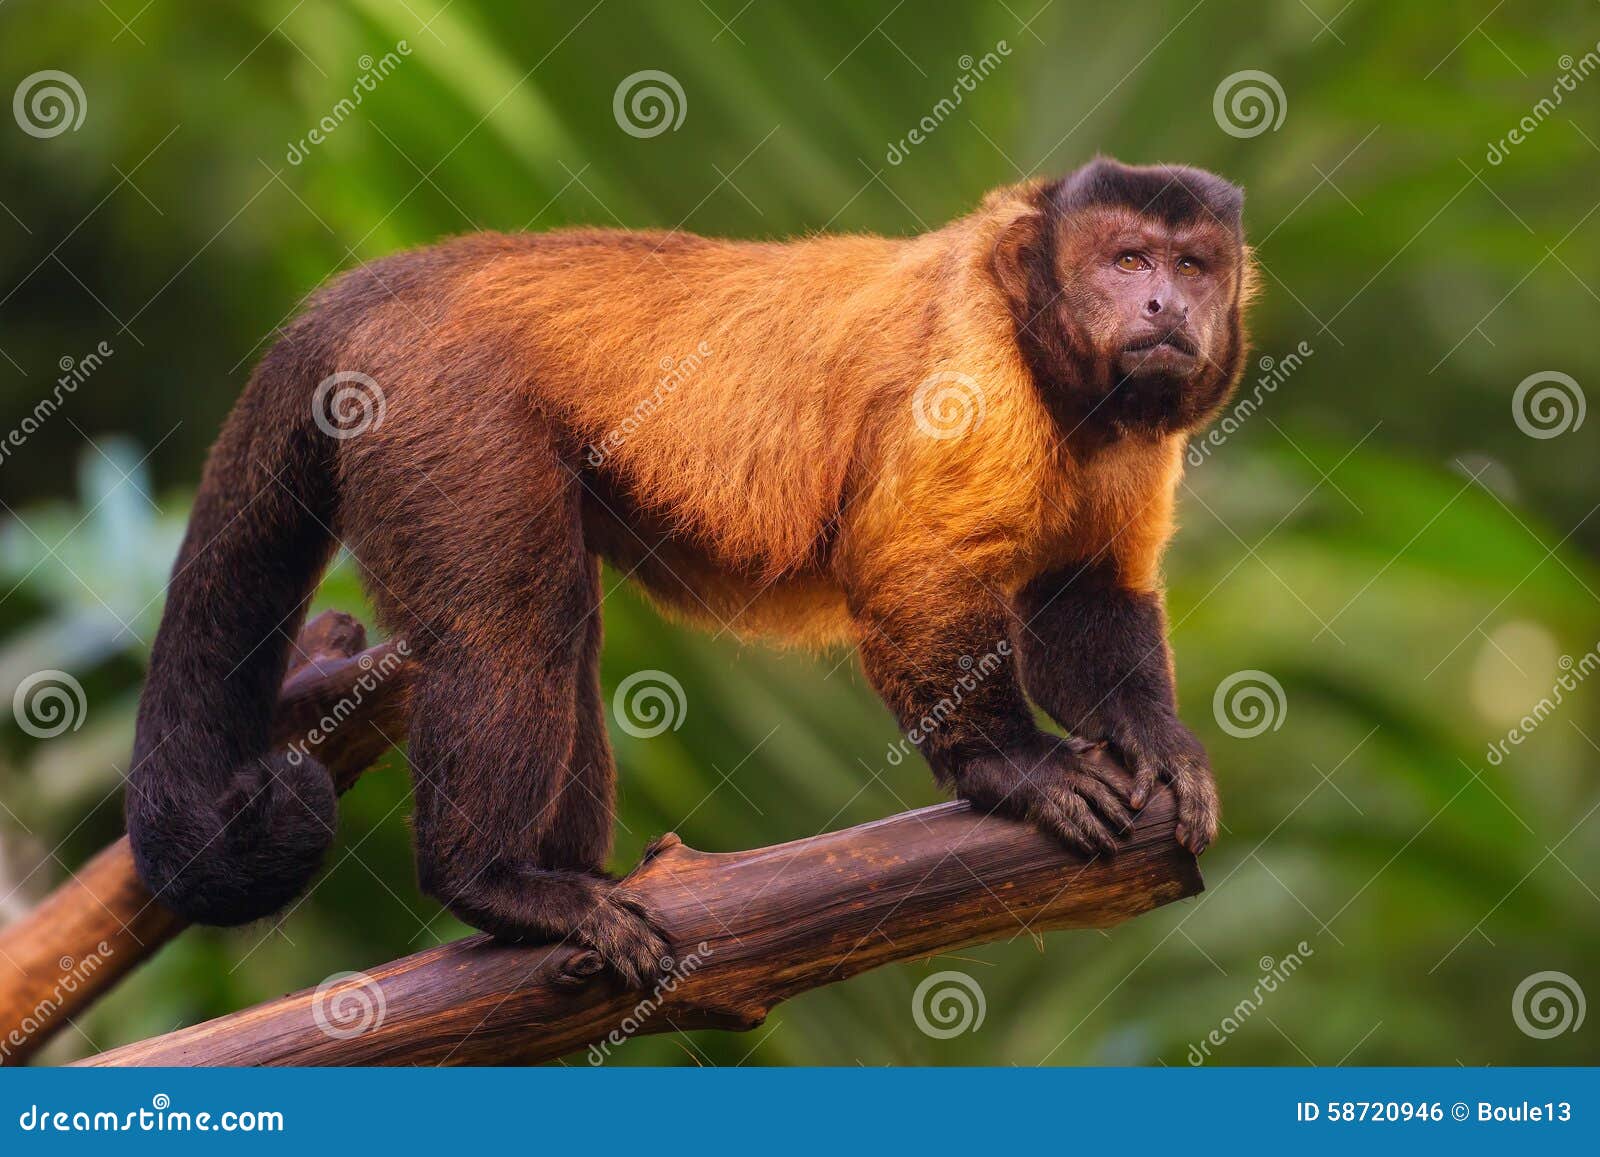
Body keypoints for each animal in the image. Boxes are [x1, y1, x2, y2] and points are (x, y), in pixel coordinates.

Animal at [125, 157, 1254, 986]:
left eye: (1194, 265)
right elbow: (910, 568)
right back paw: (497, 884)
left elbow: (1085, 597)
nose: (1163, 301)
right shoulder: (974, 371)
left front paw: (1156, 744)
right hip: (438, 411)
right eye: (1124, 259)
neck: (1051, 364)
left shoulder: (1134, 436)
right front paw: (1019, 770)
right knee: (516, 629)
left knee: (557, 627)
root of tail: (415, 276)